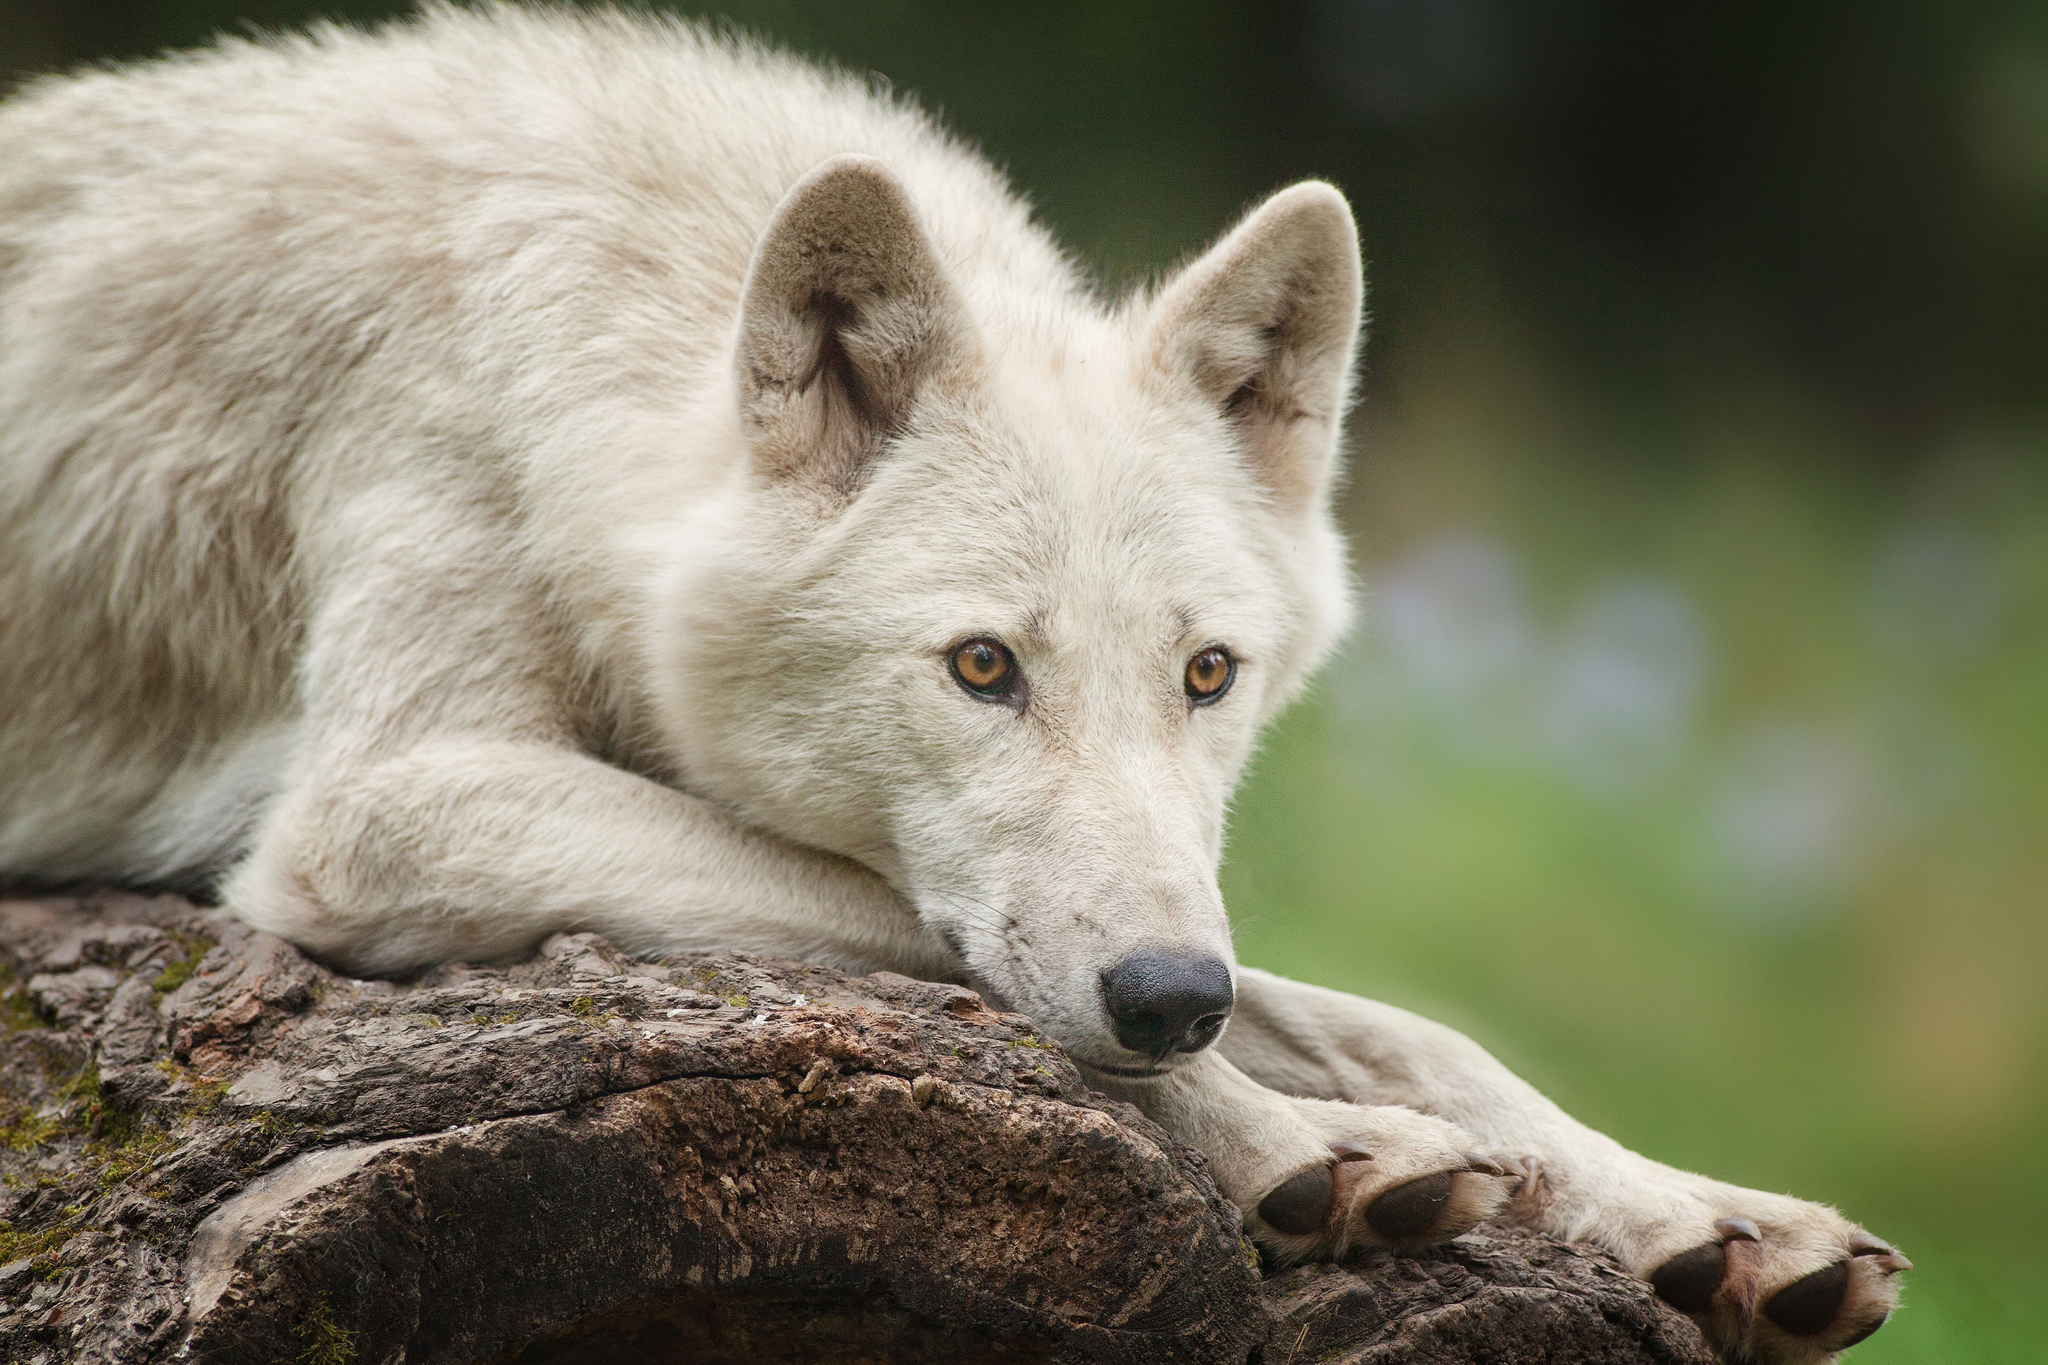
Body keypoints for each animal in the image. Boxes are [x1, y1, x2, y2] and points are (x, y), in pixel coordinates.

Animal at [0, 5, 1905, 1358]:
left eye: (1208, 673)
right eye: (982, 667)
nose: (1171, 999)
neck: (569, 361)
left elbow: (1396, 1020)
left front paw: (1699, 1218)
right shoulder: (378, 808)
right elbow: (924, 938)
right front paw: (1297, 1142)